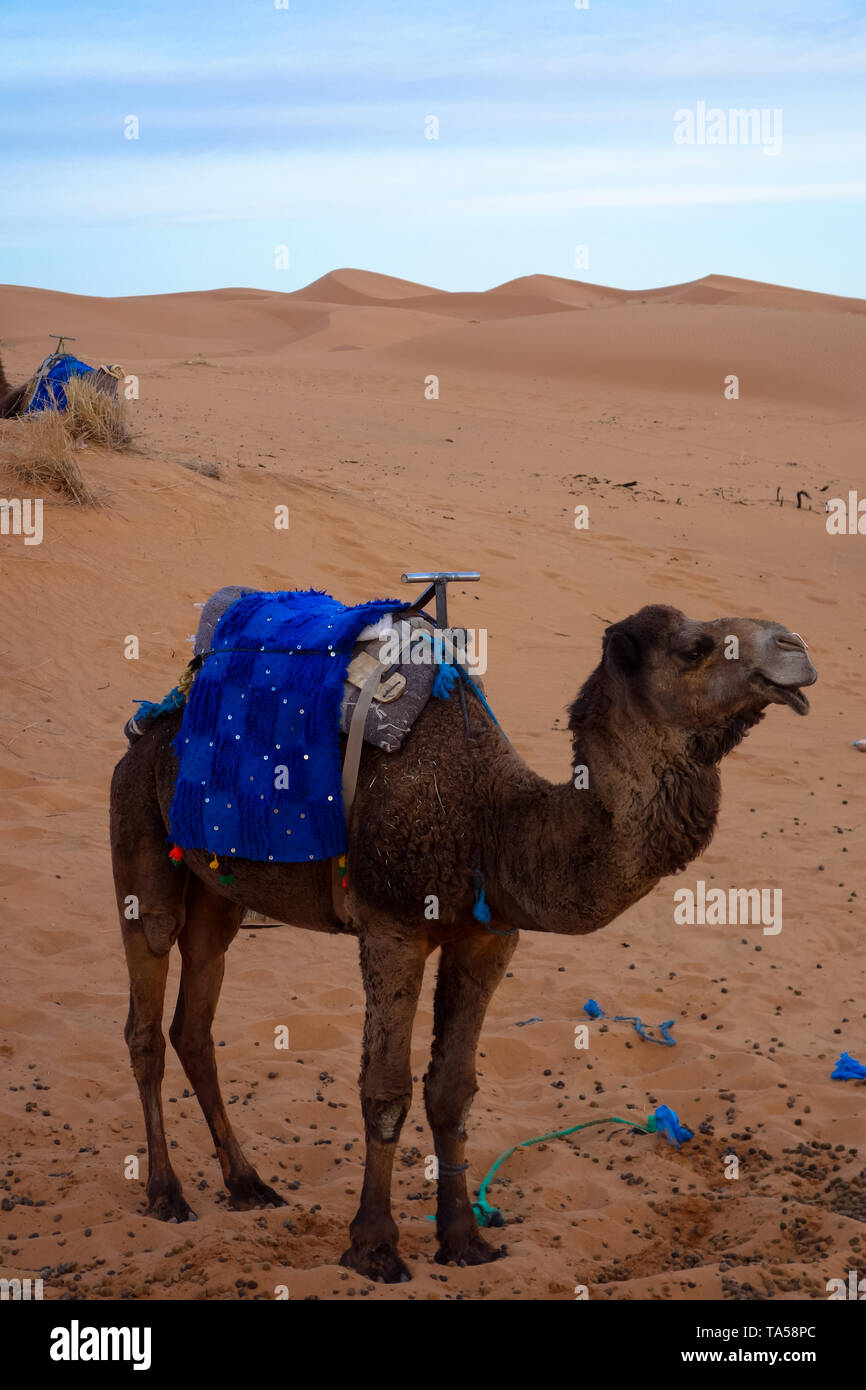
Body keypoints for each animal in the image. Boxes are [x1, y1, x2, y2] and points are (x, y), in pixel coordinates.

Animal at [110, 602, 816, 1283]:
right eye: (694, 649)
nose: (796, 648)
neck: (492, 827)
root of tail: (151, 723)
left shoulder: (489, 937)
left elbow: (452, 1090)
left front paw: (464, 1241)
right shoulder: (391, 929)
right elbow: (384, 1090)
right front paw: (374, 1247)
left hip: (218, 892)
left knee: (194, 1020)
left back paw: (247, 1184)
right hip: (138, 832)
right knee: (146, 1015)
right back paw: (167, 1194)